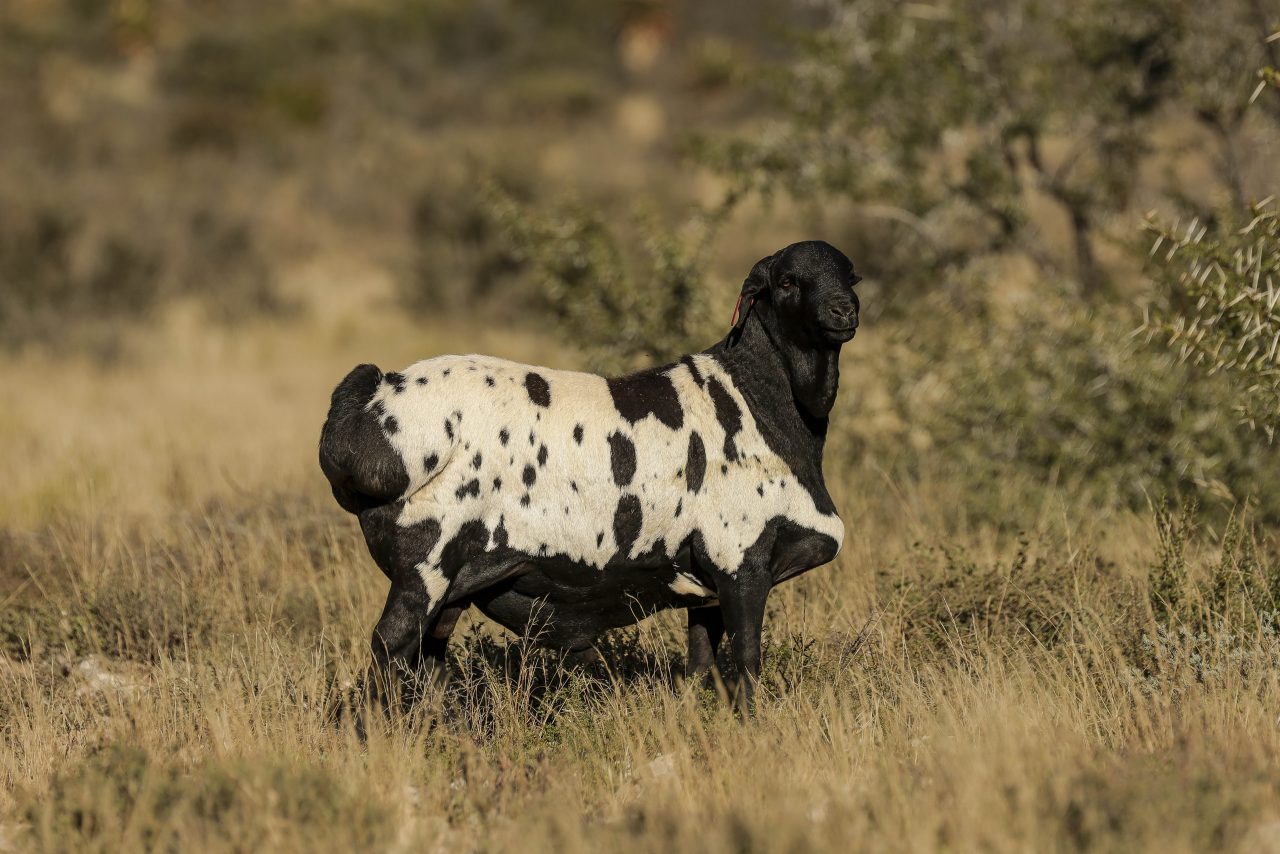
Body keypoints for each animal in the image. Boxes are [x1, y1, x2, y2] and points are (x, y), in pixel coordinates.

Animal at [319, 240, 861, 710]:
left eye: (851, 276)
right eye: (787, 281)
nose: (843, 312)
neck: (760, 397)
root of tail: (372, 406)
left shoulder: (706, 588)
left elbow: (700, 666)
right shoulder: (740, 564)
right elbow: (747, 665)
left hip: (454, 589)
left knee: (428, 663)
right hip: (424, 570)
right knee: (389, 647)